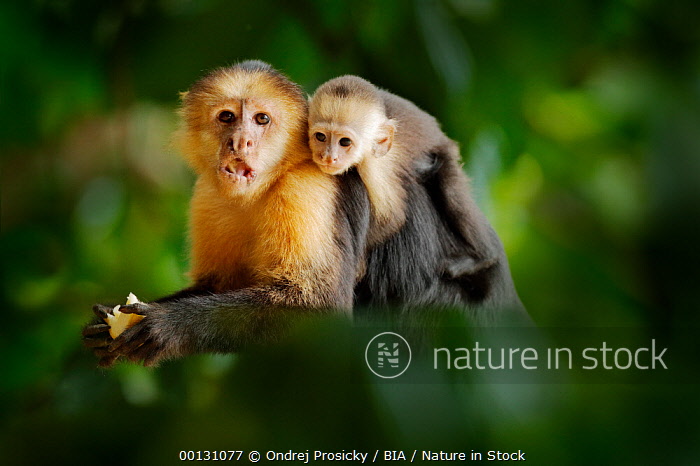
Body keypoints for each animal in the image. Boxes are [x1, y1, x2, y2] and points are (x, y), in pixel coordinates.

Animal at [82, 61, 373, 367]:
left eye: (261, 119)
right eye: (227, 117)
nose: (240, 140)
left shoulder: (307, 187)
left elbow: (319, 311)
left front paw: (167, 324)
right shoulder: (208, 195)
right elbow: (218, 285)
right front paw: (107, 326)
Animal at [307, 76, 526, 320]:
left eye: (344, 142)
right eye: (320, 137)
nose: (329, 157)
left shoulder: (376, 166)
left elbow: (392, 218)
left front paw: (358, 265)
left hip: (446, 156)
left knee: (452, 194)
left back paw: (483, 256)